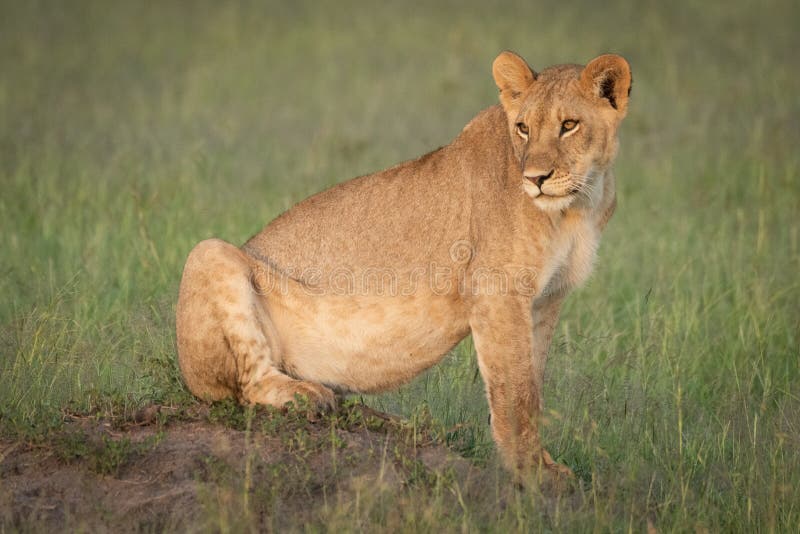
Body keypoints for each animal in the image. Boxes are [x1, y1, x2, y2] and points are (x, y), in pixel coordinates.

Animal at [176, 51, 631, 479]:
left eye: (569, 125)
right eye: (523, 128)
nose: (536, 178)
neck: (581, 204)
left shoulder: (545, 301)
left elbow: (532, 386)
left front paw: (546, 466)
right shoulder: (496, 291)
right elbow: (515, 392)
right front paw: (528, 473)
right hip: (207, 252)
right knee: (247, 385)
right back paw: (306, 396)